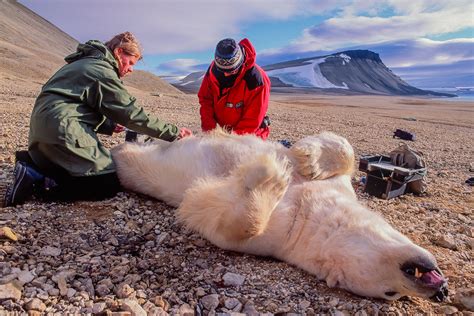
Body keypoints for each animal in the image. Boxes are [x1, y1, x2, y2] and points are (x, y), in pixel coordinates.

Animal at [111, 129, 448, 302]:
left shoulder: (280, 239)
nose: (441, 291)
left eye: (391, 295)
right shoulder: (330, 191)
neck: (310, 211)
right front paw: (302, 159)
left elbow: (217, 218)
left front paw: (268, 174)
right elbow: (343, 150)